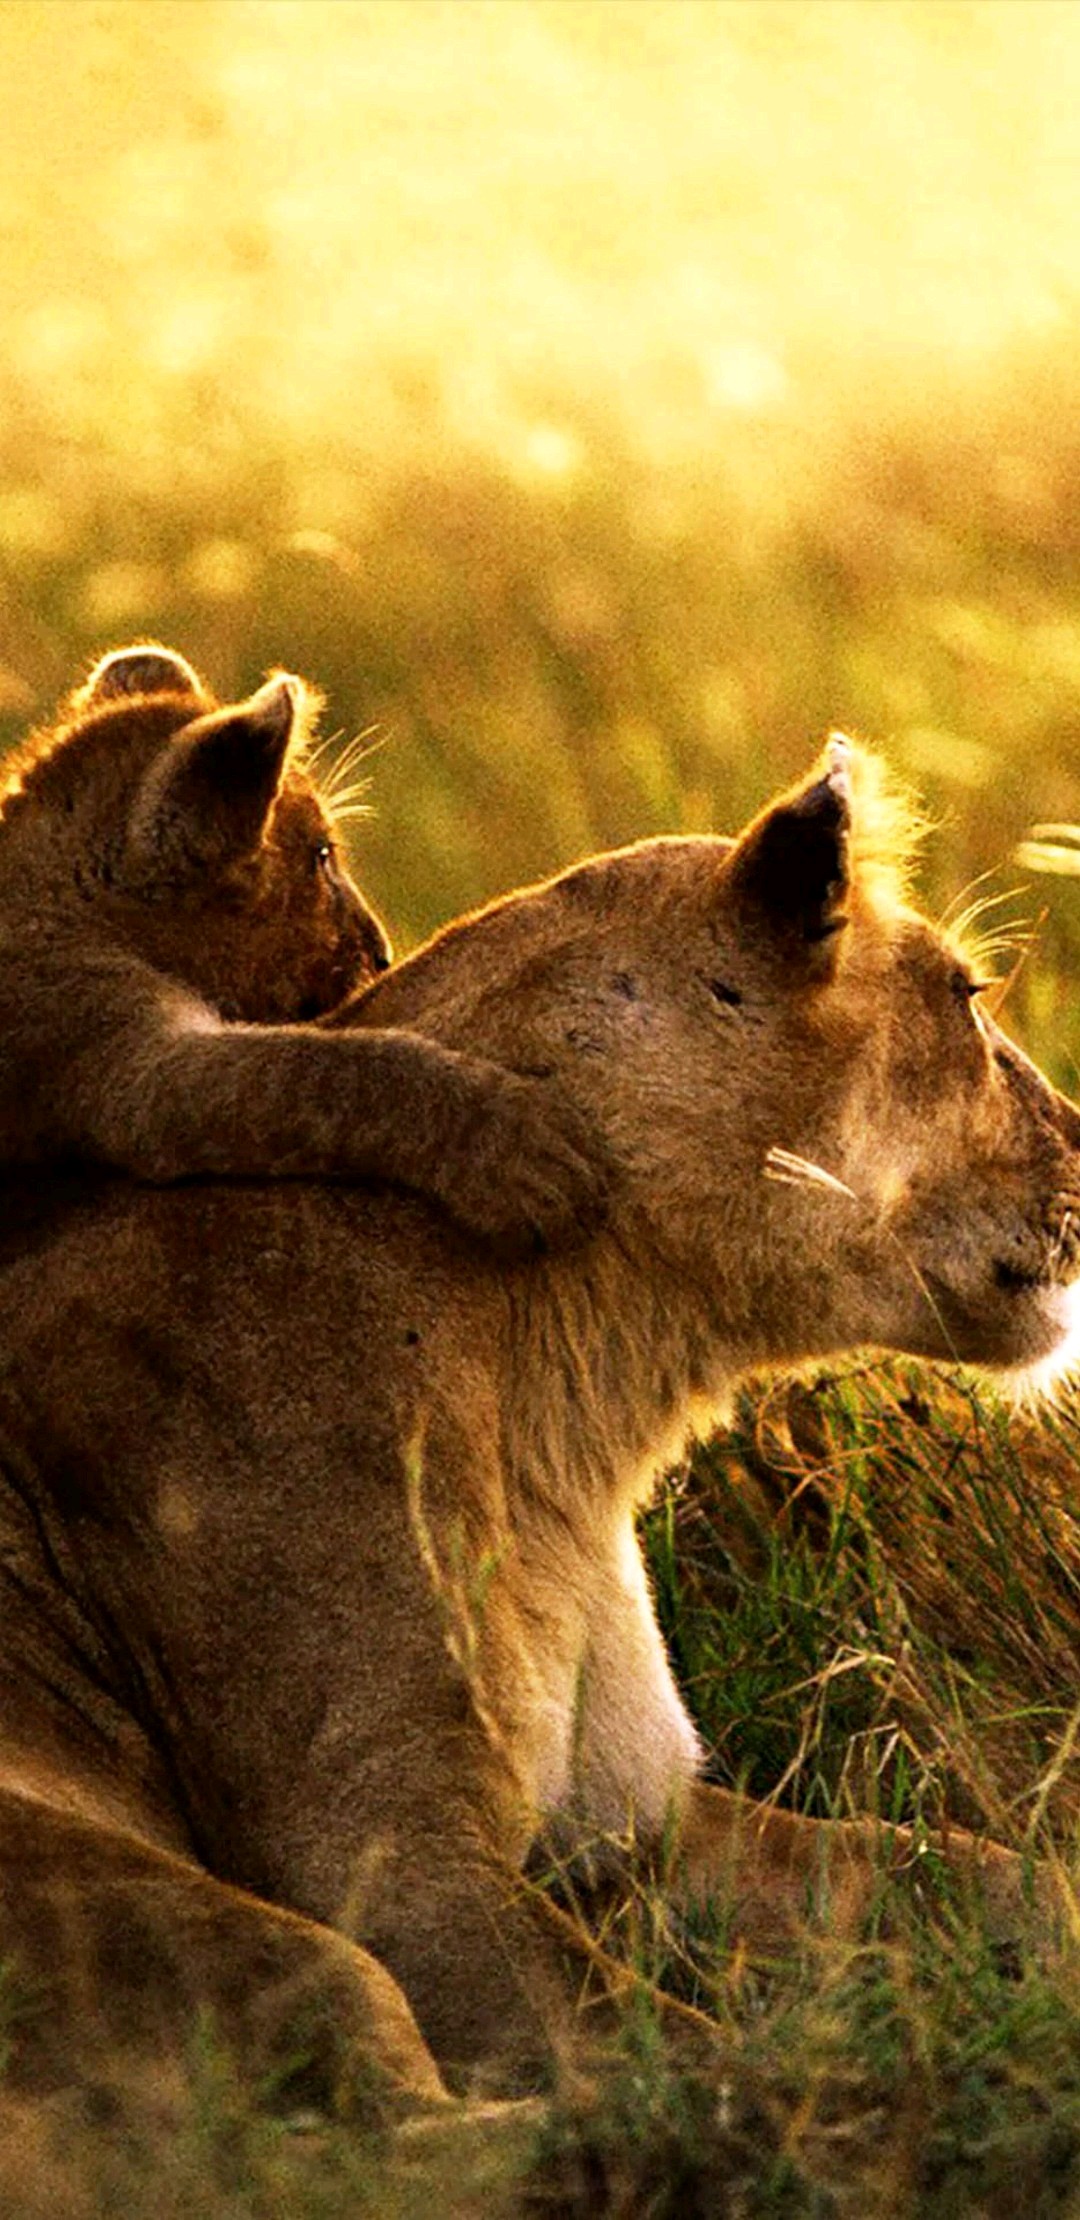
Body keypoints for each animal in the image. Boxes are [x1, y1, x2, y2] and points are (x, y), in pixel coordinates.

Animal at [0, 736, 1078, 2127]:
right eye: (969, 995)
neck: (577, 1392)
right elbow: (650, 2046)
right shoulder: (385, 1861)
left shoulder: (639, 1821)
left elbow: (981, 1869)